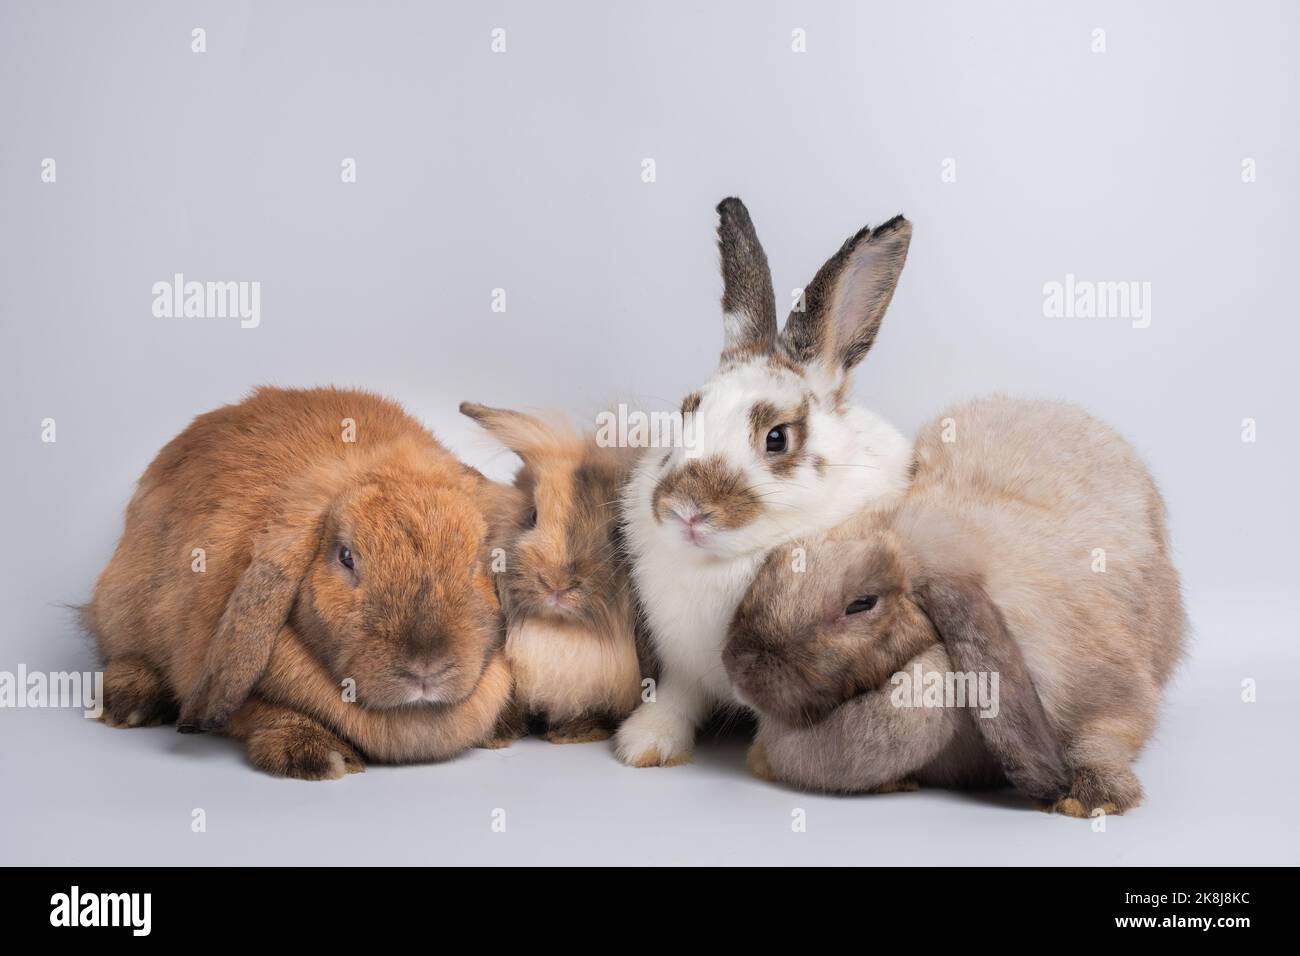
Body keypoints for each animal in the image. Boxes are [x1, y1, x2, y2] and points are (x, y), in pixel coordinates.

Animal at [83, 386, 513, 779]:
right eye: (345, 557)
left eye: (475, 559)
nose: (426, 666)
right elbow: (263, 713)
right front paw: (317, 756)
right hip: (121, 610)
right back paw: (129, 704)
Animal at [460, 402, 652, 744]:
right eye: (532, 516)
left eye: (618, 532)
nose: (556, 583)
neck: (562, 631)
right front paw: (498, 738)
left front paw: (574, 733)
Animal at [614, 197, 915, 767]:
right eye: (686, 414)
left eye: (777, 438)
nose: (687, 509)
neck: (722, 562)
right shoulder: (684, 667)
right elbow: (676, 698)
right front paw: (644, 745)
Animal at [724, 396, 1188, 815]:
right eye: (772, 565)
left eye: (861, 603)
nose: (738, 668)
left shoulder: (1112, 690)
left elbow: (1108, 733)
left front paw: (1092, 798)